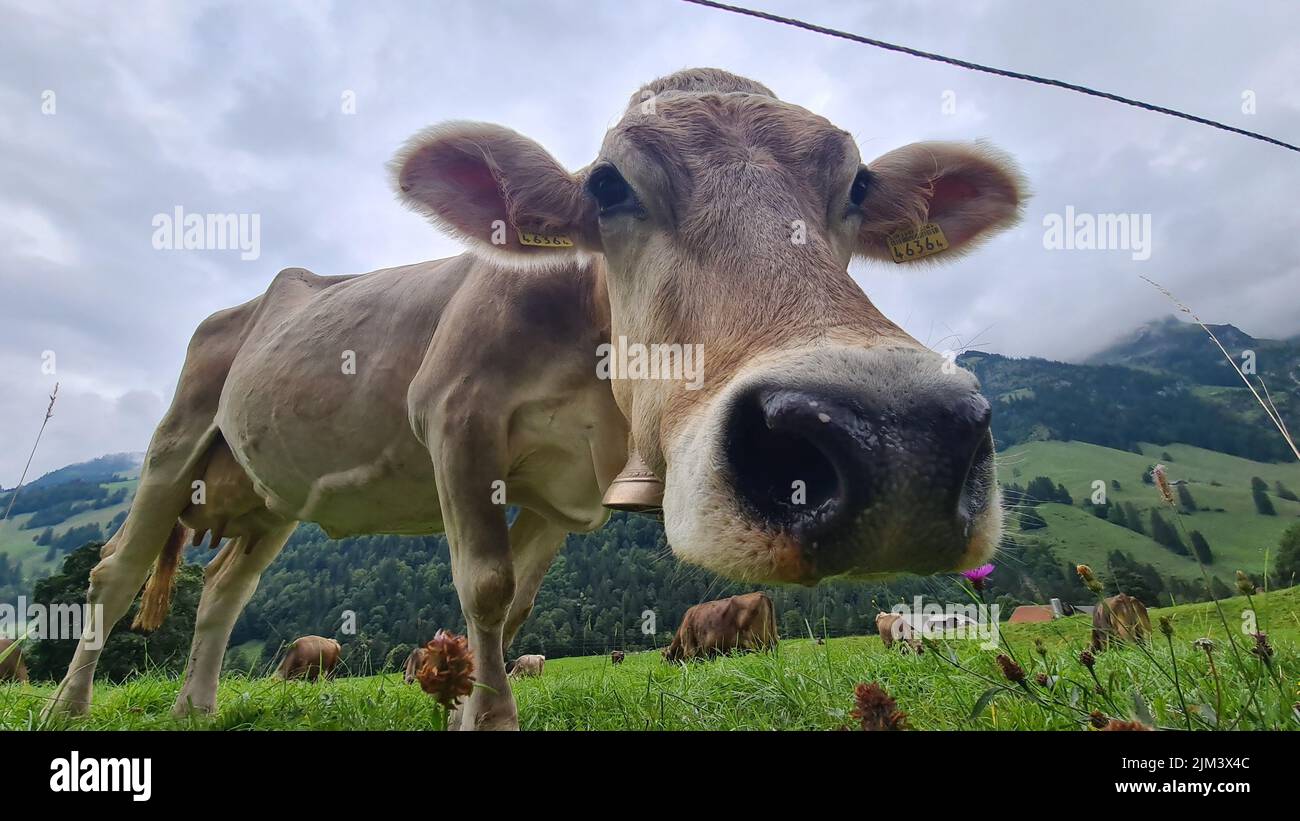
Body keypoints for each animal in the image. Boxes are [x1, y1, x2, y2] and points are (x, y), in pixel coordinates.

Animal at [46, 67, 1022, 730]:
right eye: (607, 183)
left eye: (855, 185)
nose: (898, 438)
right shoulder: (453, 418)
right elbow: (482, 584)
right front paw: (490, 716)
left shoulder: (565, 492)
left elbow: (513, 602)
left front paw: (466, 709)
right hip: (174, 438)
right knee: (113, 573)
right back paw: (69, 704)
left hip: (273, 497)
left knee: (221, 592)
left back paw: (196, 705)